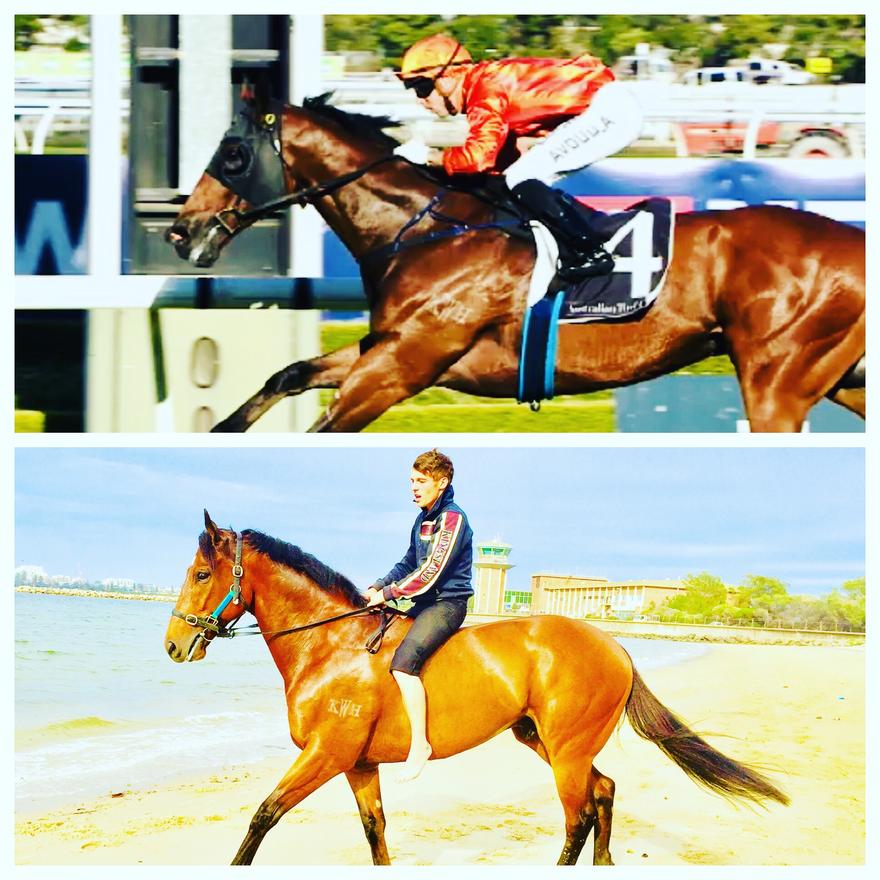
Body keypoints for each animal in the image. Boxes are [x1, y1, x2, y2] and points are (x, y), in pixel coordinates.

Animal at [164, 512, 789, 866]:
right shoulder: (357, 765)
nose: (173, 645)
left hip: (565, 751)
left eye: (201, 574)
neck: (331, 646)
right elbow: (374, 831)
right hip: (545, 740)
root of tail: (616, 646)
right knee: (605, 791)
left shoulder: (326, 755)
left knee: (579, 814)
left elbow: (263, 816)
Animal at [165, 92, 865, 433]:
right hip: (840, 376)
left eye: (232, 155)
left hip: (776, 381)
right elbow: (288, 374)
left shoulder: (401, 365)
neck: (426, 232)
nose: (180, 232)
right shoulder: (384, 347)